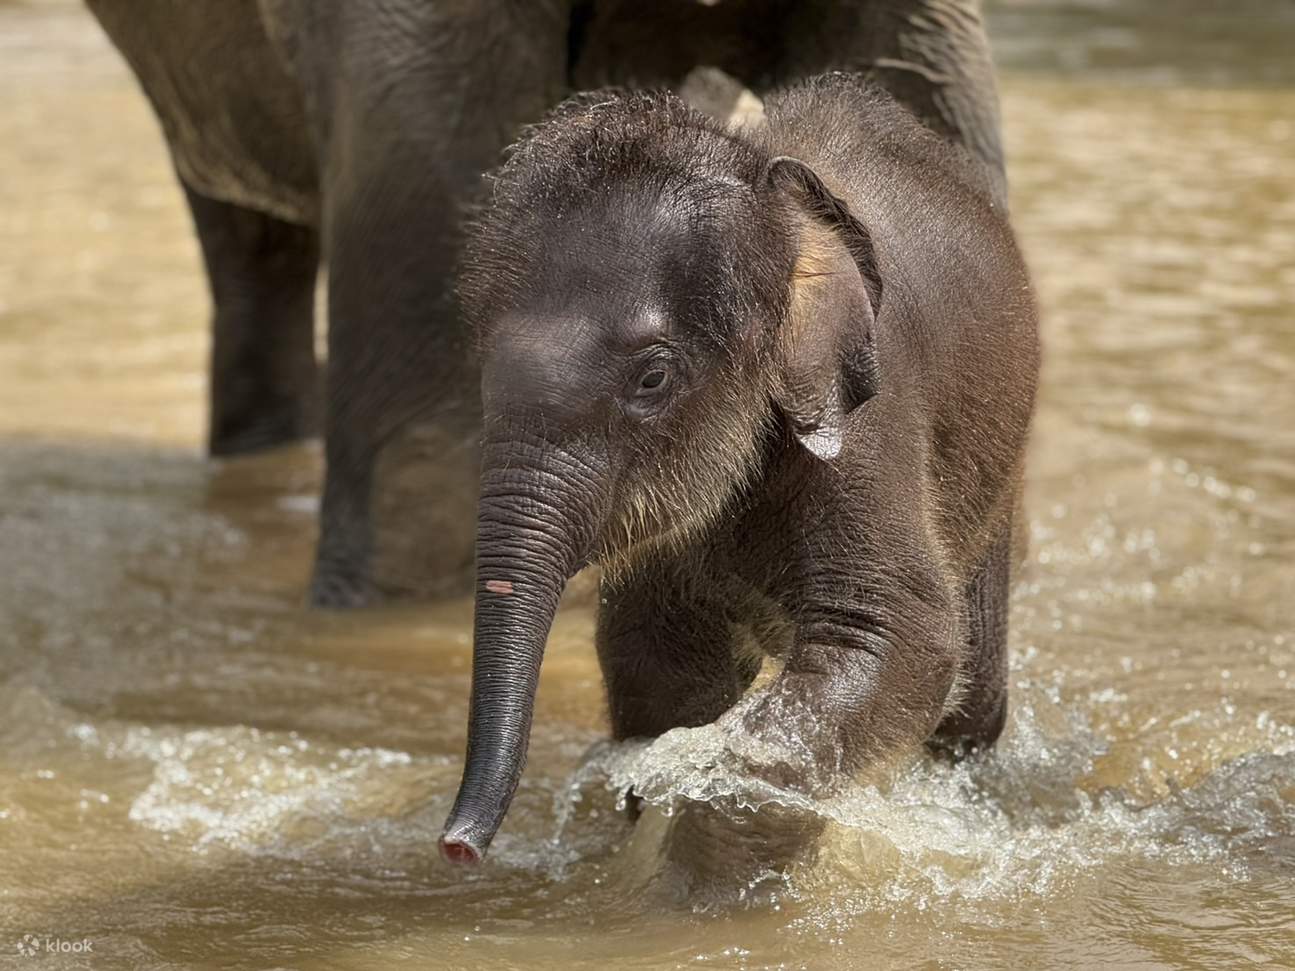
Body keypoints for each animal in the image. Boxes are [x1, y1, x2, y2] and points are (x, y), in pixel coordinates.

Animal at [437, 74, 1039, 883]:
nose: (457, 847)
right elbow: (657, 663)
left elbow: (895, 632)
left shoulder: (869, 416)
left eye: (652, 378)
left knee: (972, 700)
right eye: (482, 371)